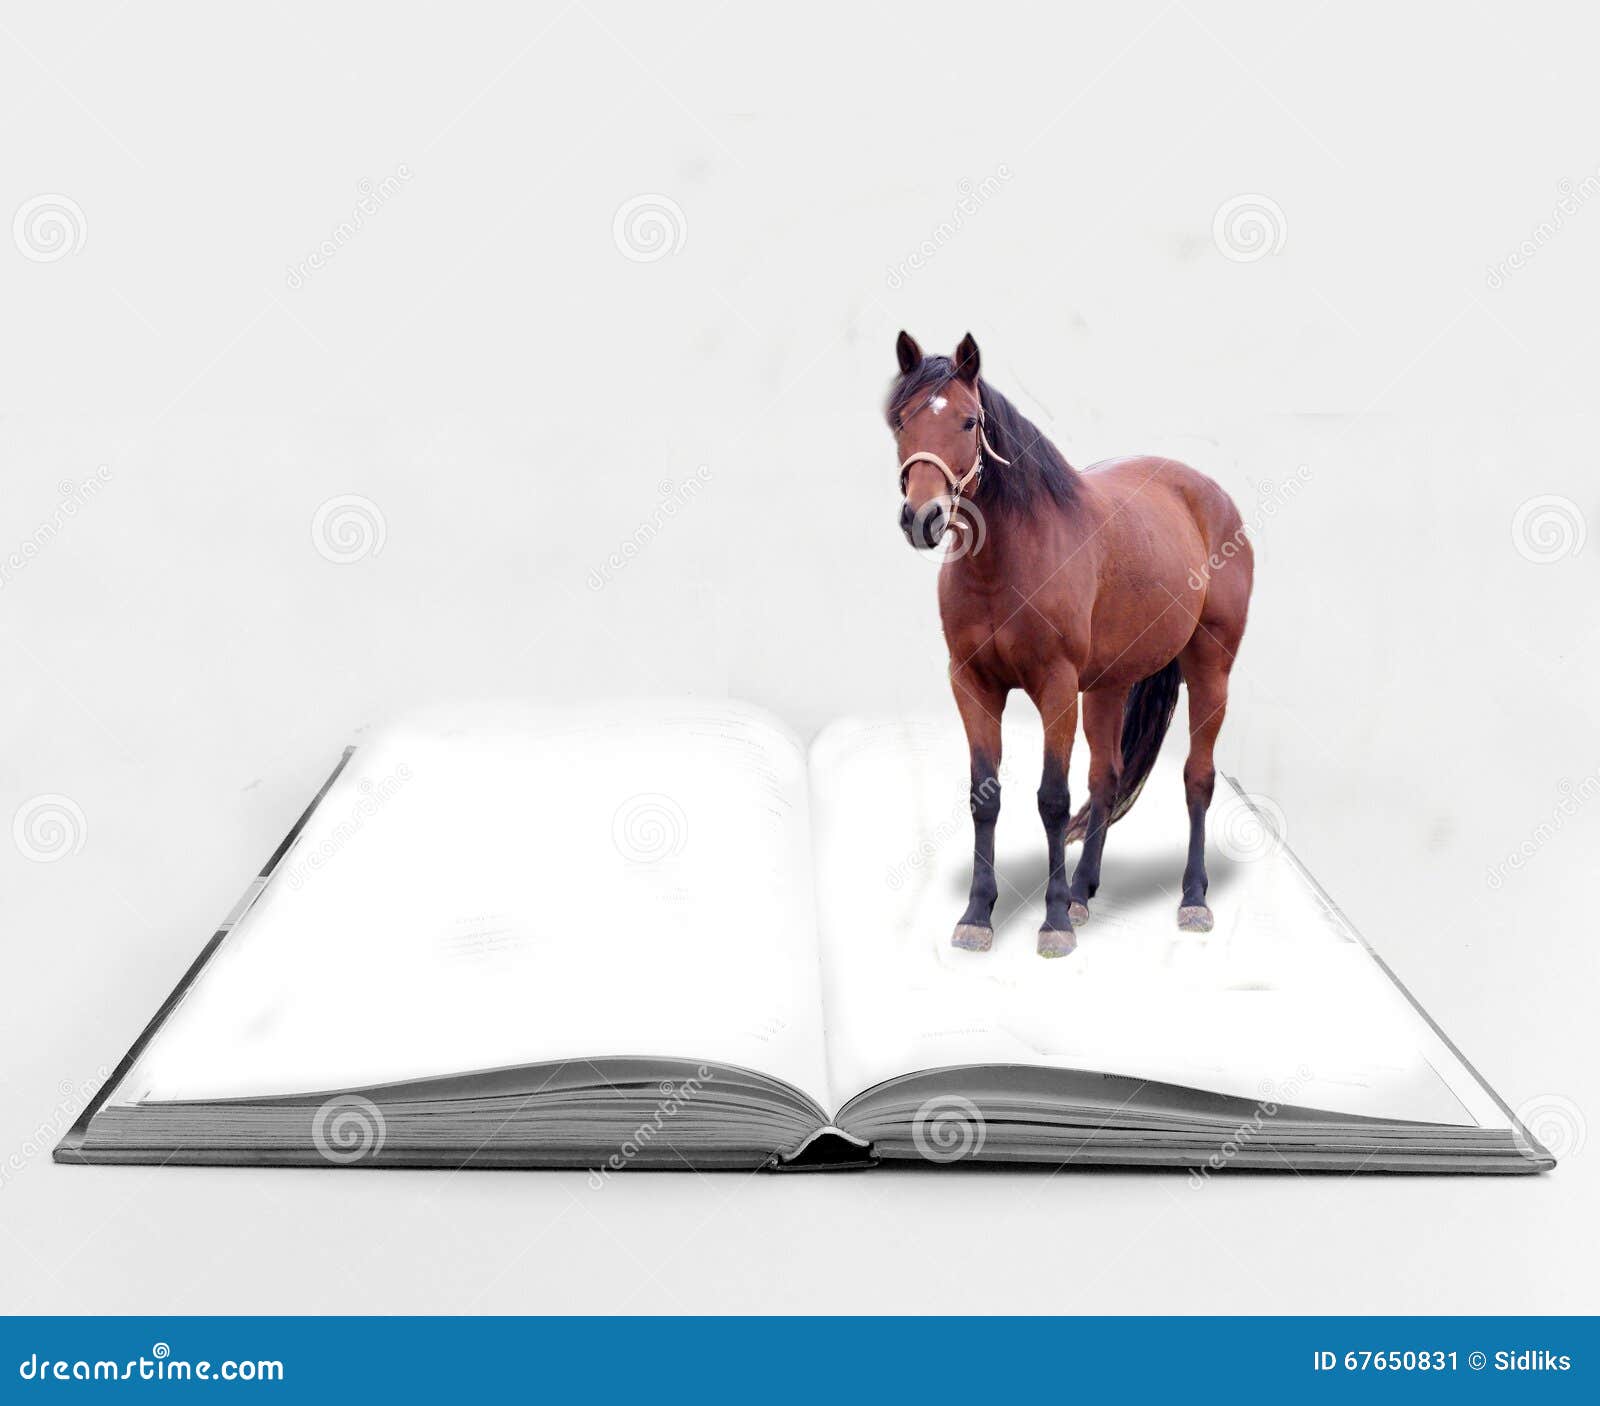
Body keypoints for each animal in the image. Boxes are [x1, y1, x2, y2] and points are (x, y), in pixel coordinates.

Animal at [889, 331, 1254, 958]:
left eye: (968, 420)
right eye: (902, 419)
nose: (923, 516)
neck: (1007, 559)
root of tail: (1212, 498)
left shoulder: (1055, 686)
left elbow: (1053, 799)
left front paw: (1053, 920)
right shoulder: (972, 683)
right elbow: (985, 795)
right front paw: (979, 915)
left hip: (1210, 668)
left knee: (1197, 779)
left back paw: (1192, 899)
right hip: (1109, 686)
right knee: (1106, 780)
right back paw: (1085, 890)